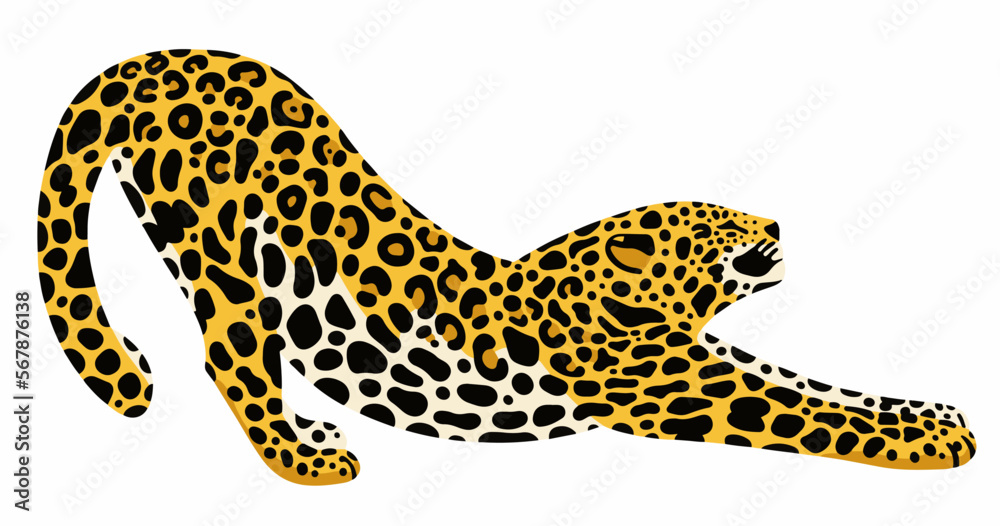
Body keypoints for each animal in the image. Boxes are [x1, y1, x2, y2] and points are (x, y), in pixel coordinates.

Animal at [37, 50, 976, 486]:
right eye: (716, 225)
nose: (775, 221)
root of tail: (162, 59)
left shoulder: (702, 354)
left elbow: (824, 386)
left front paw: (934, 413)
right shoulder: (676, 382)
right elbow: (808, 411)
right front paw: (937, 444)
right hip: (228, 263)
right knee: (230, 360)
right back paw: (306, 456)